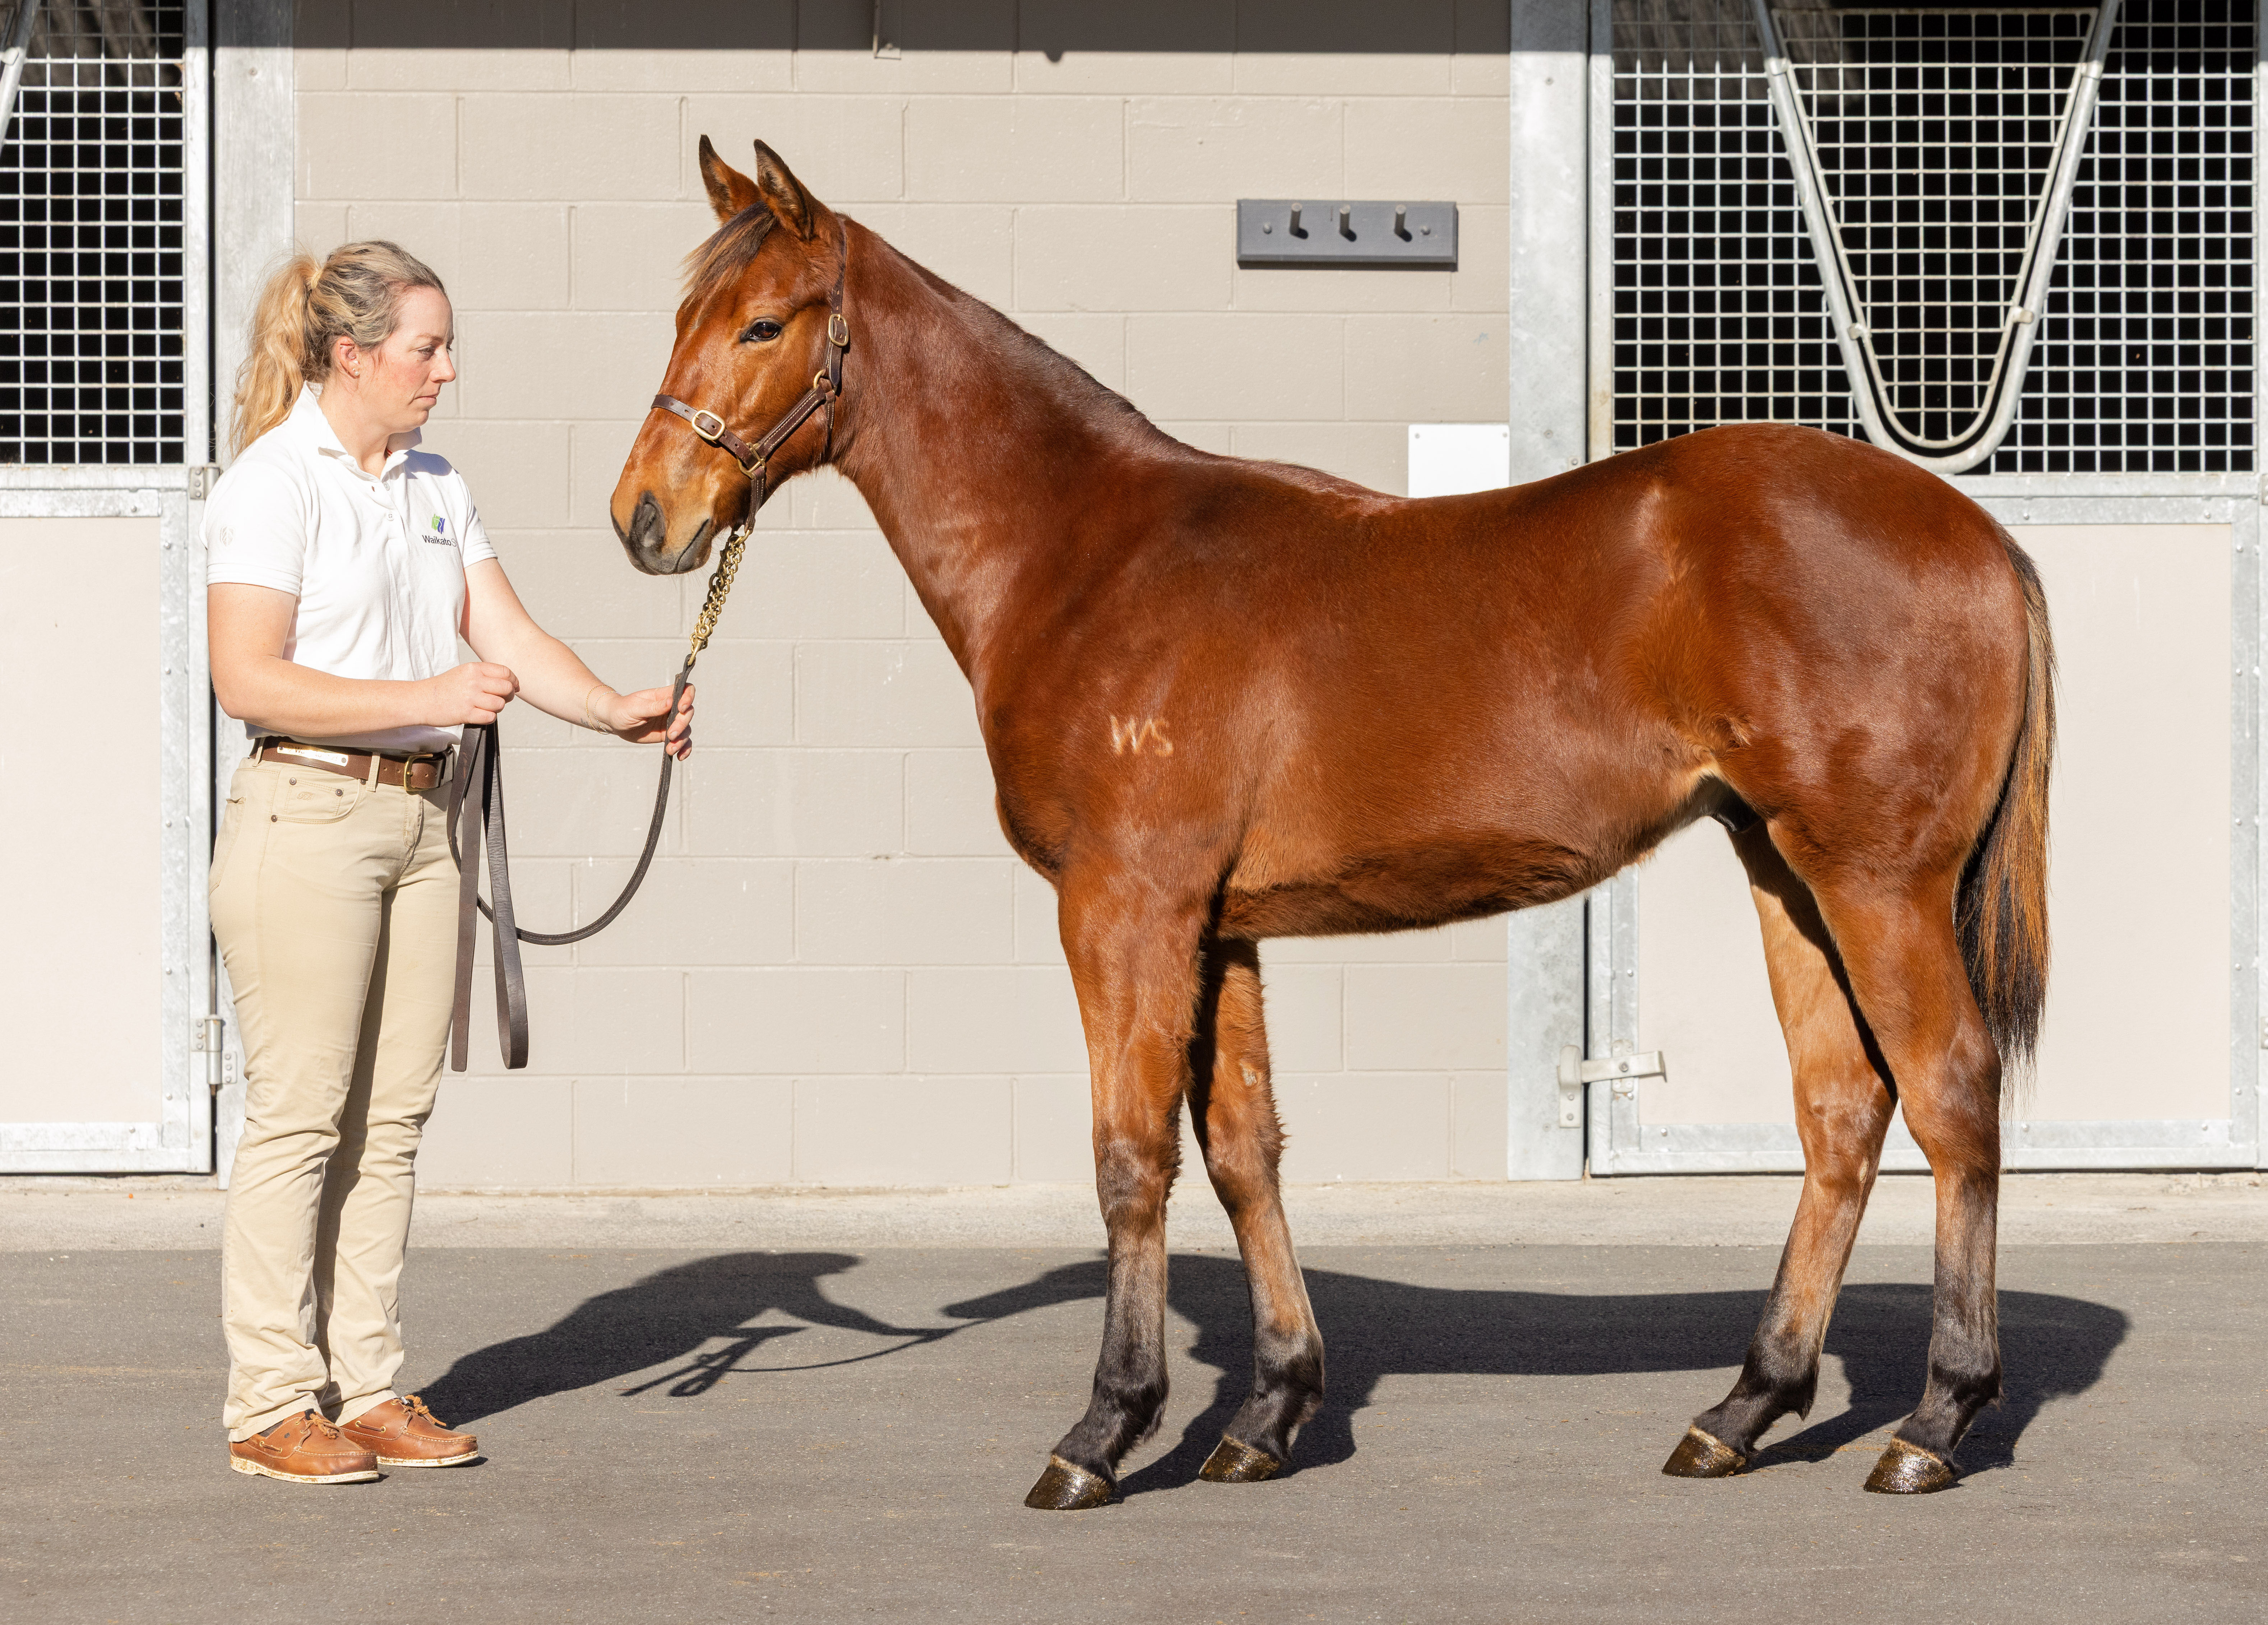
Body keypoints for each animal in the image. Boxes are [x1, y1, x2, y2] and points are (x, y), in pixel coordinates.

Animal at [610, 138, 2054, 1508]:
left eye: (763, 323)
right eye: (682, 313)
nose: (645, 517)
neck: (1085, 559)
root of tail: (1979, 537)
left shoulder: (1125, 907)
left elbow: (1130, 1155)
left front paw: (1104, 1429)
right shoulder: (1219, 926)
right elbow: (1244, 1152)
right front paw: (1268, 1413)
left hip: (1876, 880)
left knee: (1950, 1093)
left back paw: (1933, 1420)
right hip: (1785, 871)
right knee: (1843, 1110)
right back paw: (1744, 1408)